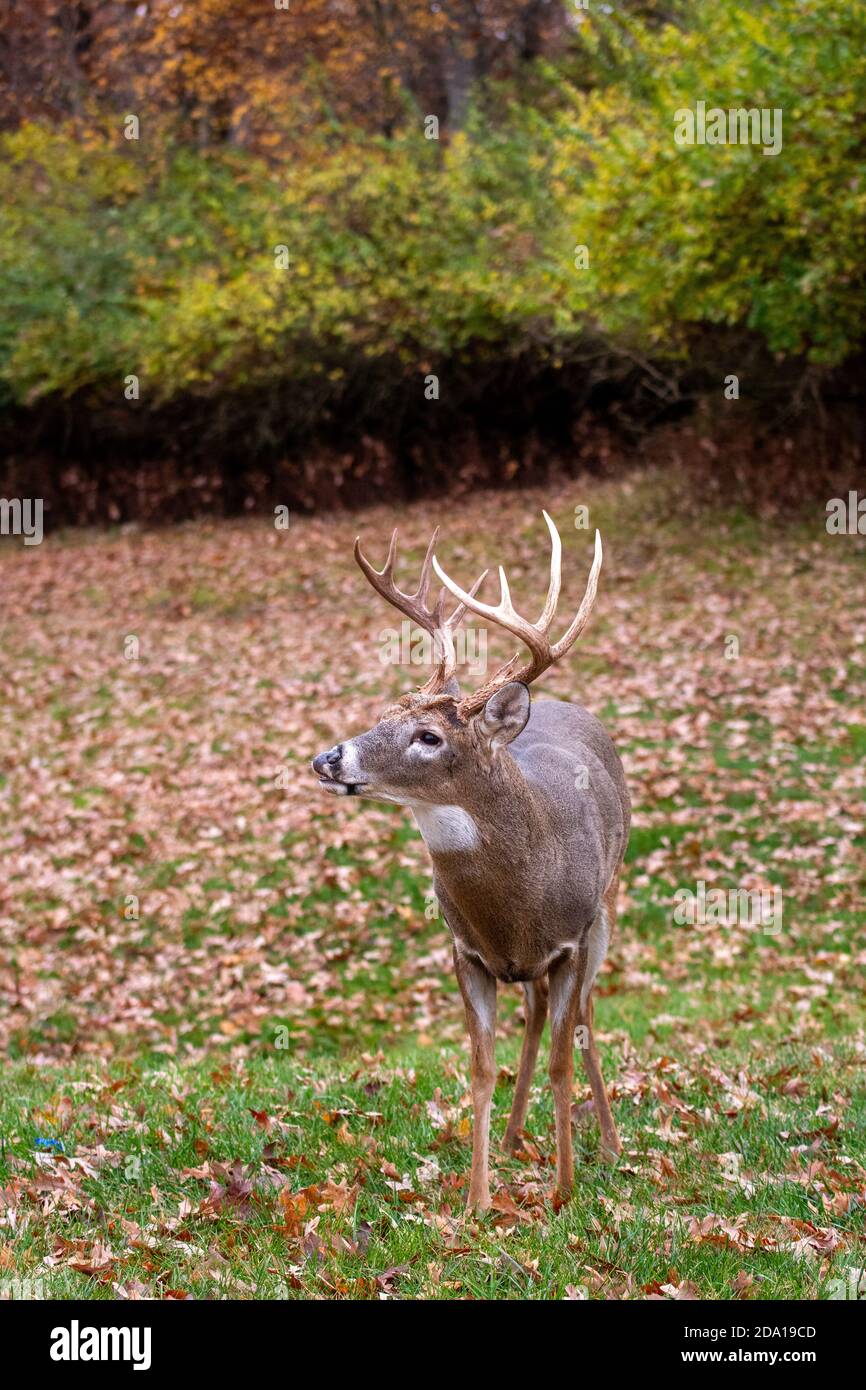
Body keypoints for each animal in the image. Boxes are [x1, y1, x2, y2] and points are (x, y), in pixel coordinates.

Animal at [311, 512, 630, 1210]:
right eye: (384, 714)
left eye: (429, 736)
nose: (327, 758)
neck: (517, 898)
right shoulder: (466, 951)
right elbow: (482, 1067)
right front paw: (478, 1200)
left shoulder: (572, 939)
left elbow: (565, 1059)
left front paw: (564, 1190)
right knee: (534, 1013)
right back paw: (513, 1138)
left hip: (608, 906)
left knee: (586, 1015)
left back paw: (609, 1143)